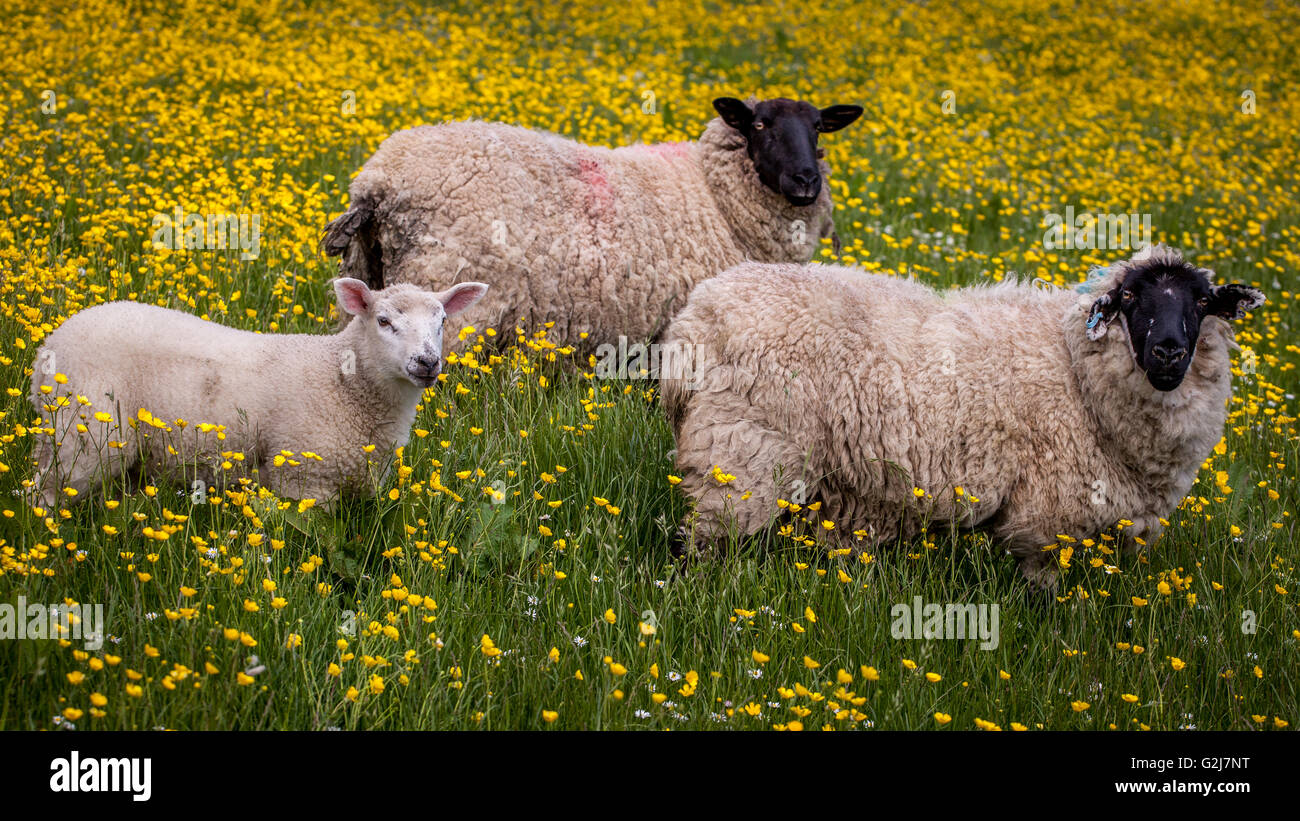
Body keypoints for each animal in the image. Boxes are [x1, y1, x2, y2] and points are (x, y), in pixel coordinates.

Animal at [26, 278, 488, 508]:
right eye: (384, 321)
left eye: (442, 321)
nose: (427, 362)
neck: (343, 382)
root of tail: (51, 342)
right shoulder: (305, 480)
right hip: (85, 435)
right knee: (45, 490)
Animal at [322, 97, 863, 351]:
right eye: (759, 126)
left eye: (818, 129)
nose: (806, 181)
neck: (713, 196)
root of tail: (377, 183)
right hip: (447, 302)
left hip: (369, 283)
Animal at [660, 245, 1264, 591]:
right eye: (1131, 298)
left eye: (1202, 302)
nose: (1167, 351)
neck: (1074, 364)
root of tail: (695, 318)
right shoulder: (1049, 516)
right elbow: (1044, 596)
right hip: (742, 450)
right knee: (700, 543)